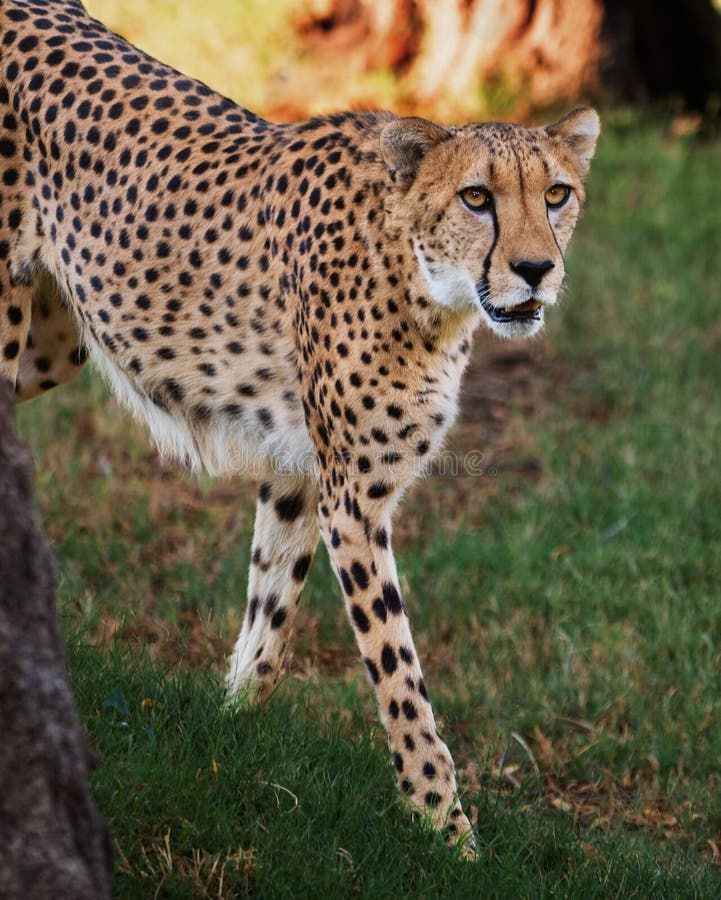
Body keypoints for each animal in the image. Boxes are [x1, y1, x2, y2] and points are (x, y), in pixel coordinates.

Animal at [0, 0, 599, 854]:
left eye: (555, 194)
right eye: (476, 198)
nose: (535, 271)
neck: (423, 282)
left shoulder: (299, 473)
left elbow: (270, 612)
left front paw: (228, 735)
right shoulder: (354, 500)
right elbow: (399, 675)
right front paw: (446, 832)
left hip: (53, 345)